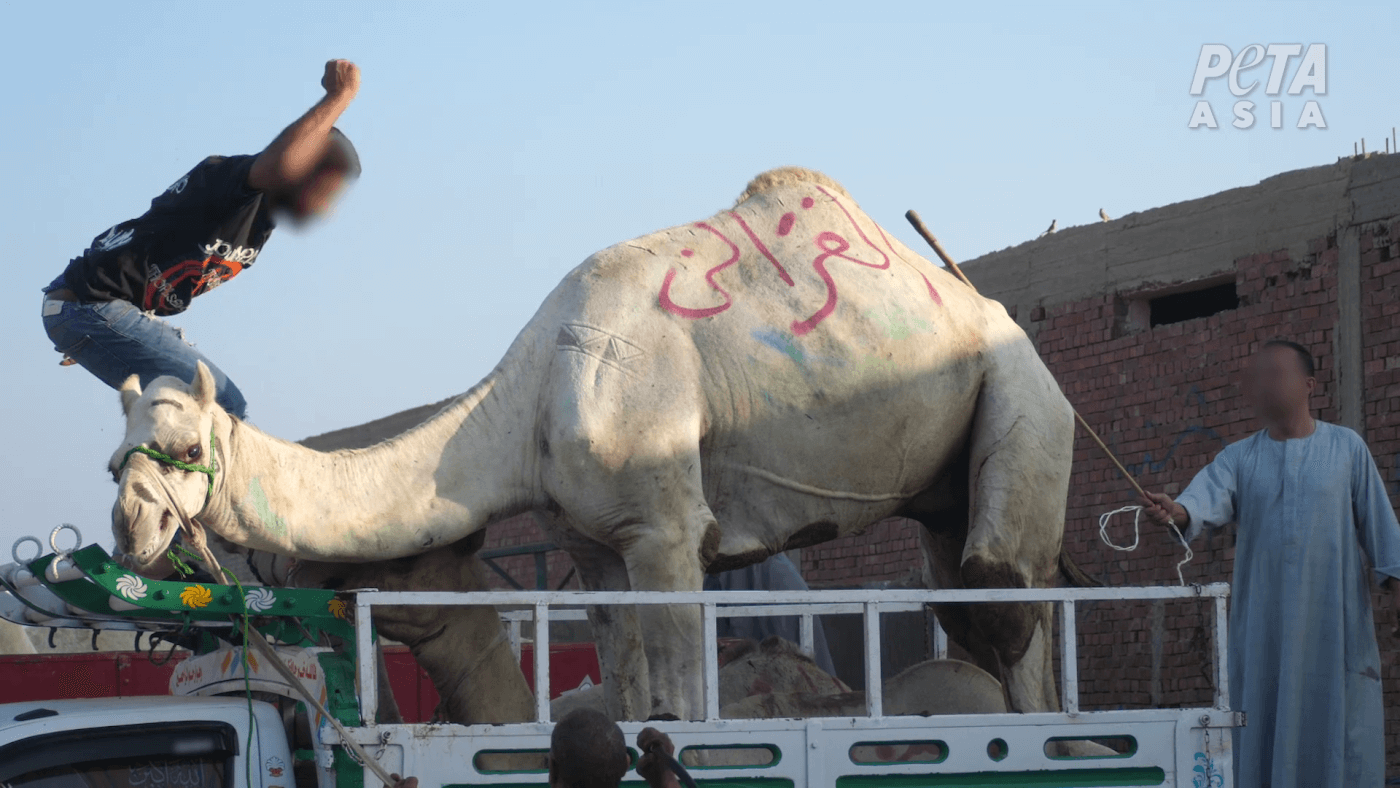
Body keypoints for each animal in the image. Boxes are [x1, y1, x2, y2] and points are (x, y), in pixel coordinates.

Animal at [107, 166, 1080, 721]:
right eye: (115, 456)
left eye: (186, 449)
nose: (132, 527)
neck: (531, 399)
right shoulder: (590, 541)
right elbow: (624, 687)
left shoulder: (666, 531)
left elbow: (682, 705)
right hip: (943, 495)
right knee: (969, 603)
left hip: (1031, 398)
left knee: (1010, 599)